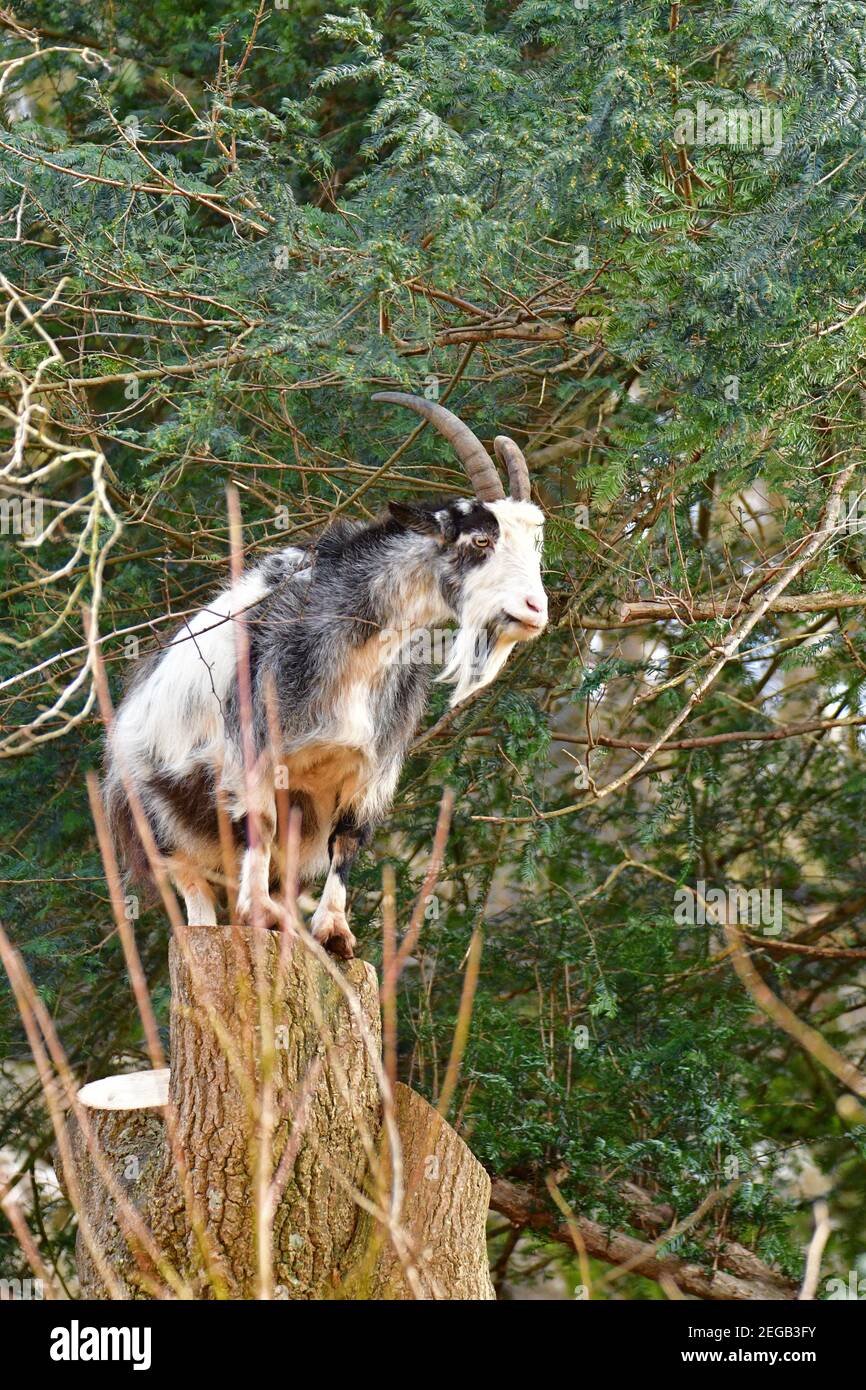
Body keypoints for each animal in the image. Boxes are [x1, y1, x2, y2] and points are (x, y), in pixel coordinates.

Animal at [104, 391, 544, 956]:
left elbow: (350, 839)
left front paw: (334, 933)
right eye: (480, 541)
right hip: (158, 820)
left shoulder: (371, 768)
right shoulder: (256, 750)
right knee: (193, 889)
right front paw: (260, 914)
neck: (356, 653)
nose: (535, 608)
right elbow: (261, 824)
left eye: (534, 543)